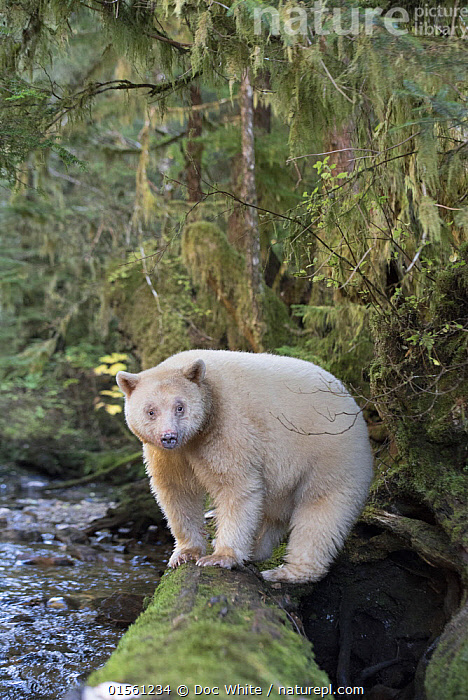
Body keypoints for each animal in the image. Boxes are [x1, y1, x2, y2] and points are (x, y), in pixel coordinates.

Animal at [116, 350, 373, 583]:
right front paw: (185, 553)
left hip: (330, 455)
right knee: (271, 513)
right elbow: (177, 491)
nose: (169, 436)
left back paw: (287, 572)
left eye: (180, 407)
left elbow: (236, 486)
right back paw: (256, 549)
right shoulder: (169, 455)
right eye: (150, 411)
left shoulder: (228, 425)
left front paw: (219, 557)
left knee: (320, 513)